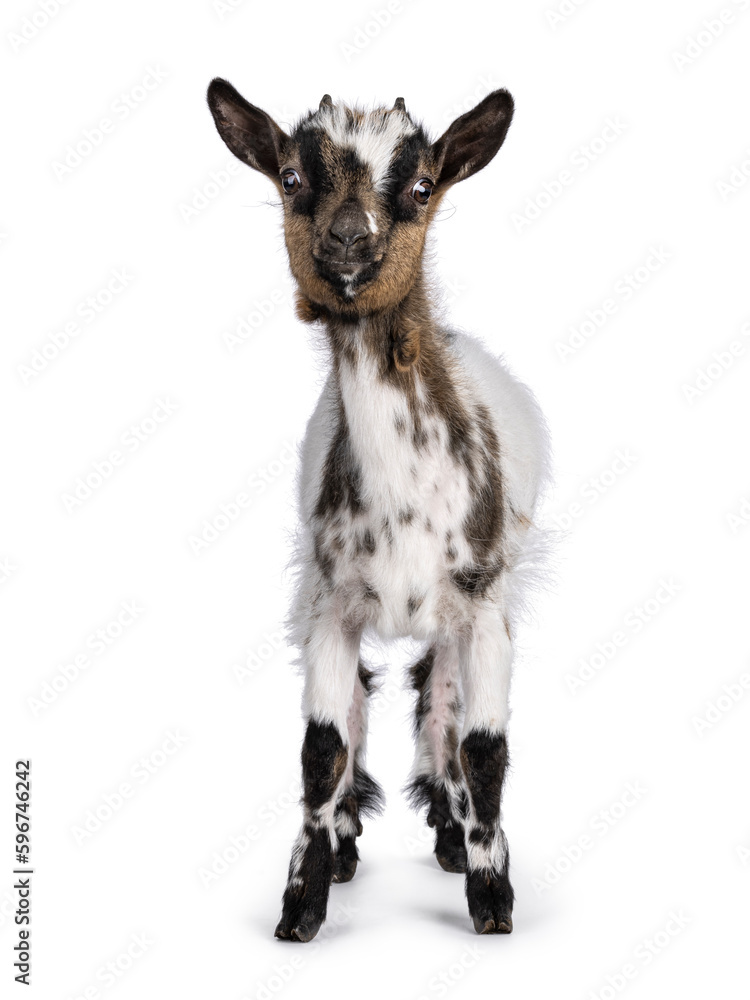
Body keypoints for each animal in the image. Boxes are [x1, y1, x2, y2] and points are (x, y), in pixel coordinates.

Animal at [206, 79, 550, 941]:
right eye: (291, 176)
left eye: (422, 185)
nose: (348, 236)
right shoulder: (330, 604)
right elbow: (323, 747)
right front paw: (302, 903)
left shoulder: (485, 604)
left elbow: (484, 747)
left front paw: (493, 899)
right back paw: (353, 842)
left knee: (439, 699)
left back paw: (453, 838)